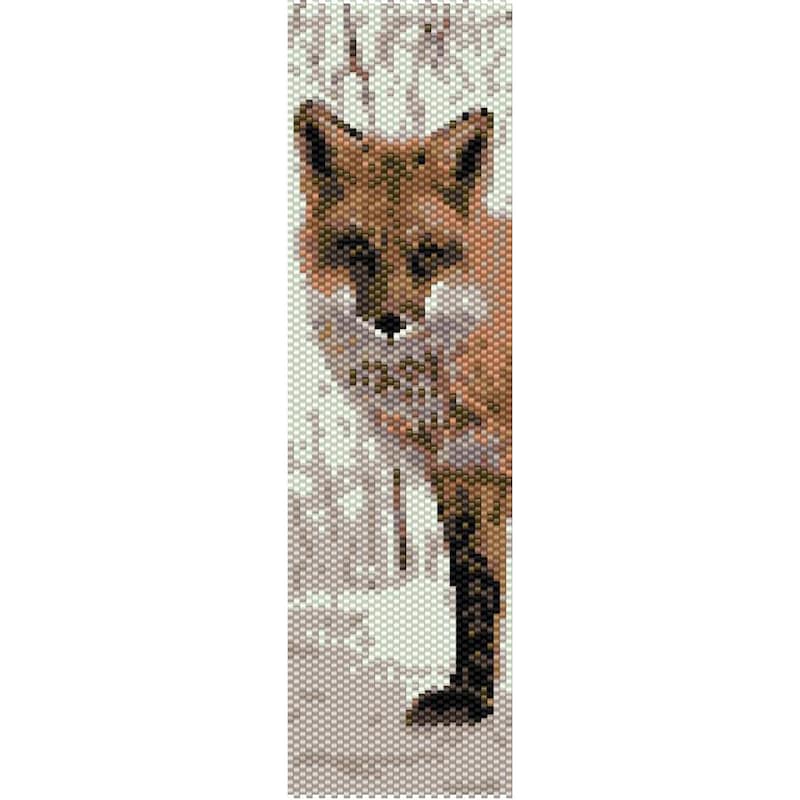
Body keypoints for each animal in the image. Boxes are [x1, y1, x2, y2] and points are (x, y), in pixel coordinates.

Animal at [293, 100, 511, 725]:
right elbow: (473, 586)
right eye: (357, 249)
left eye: (429, 252)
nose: (390, 323)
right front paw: (470, 695)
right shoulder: (461, 471)